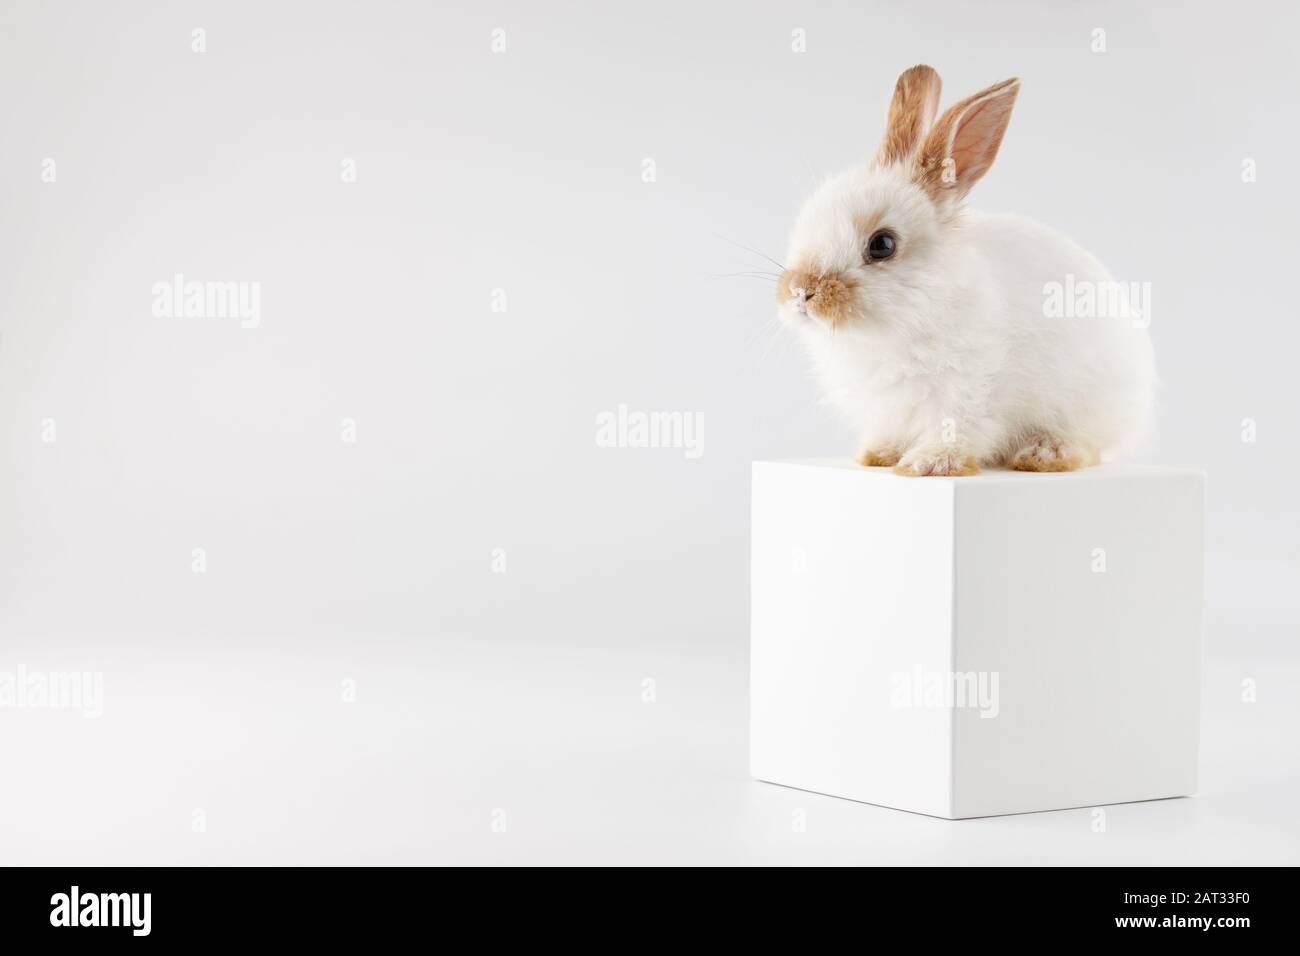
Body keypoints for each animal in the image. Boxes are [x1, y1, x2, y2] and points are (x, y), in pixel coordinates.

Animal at [775, 65, 1156, 476]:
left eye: (882, 245)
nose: (800, 292)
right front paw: (879, 456)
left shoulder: (968, 387)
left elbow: (957, 429)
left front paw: (928, 465)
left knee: (1089, 447)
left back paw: (1045, 453)